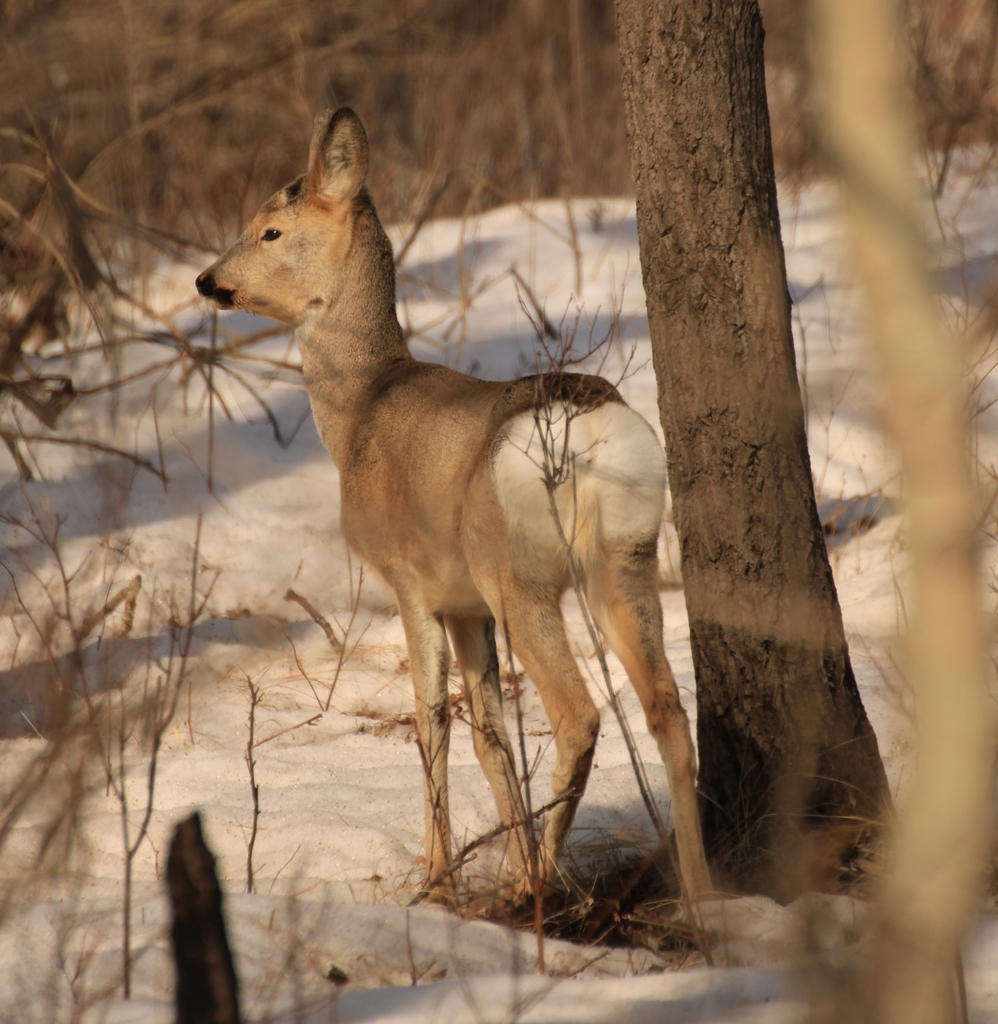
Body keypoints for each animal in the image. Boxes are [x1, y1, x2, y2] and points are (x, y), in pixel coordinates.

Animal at [196, 108, 712, 906]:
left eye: (270, 230)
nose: (207, 280)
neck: (361, 407)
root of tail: (589, 430)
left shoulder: (412, 580)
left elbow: (432, 720)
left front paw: (440, 876)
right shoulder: (467, 606)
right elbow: (489, 733)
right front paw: (497, 853)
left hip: (516, 570)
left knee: (578, 713)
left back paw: (540, 881)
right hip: (623, 557)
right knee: (667, 710)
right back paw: (701, 893)